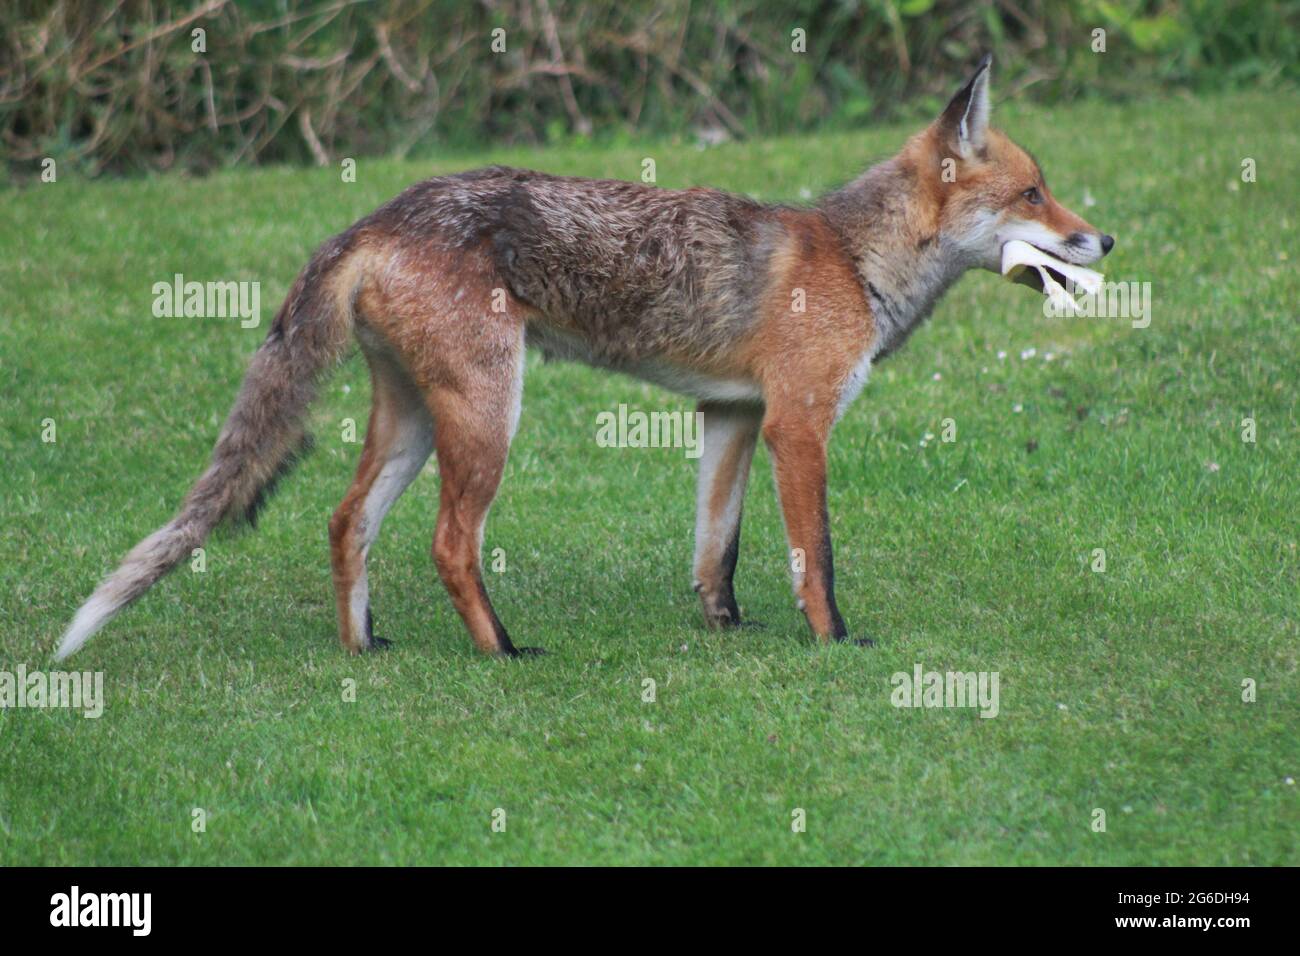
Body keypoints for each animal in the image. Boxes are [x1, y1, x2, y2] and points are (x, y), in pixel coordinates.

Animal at [57, 55, 1112, 661]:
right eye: (1035, 194)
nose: (1104, 241)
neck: (852, 261)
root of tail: (381, 213)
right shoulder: (799, 425)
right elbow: (816, 557)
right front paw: (835, 647)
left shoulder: (731, 415)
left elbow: (717, 551)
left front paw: (726, 633)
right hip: (488, 413)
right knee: (450, 543)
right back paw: (501, 652)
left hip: (412, 418)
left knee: (346, 521)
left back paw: (364, 649)